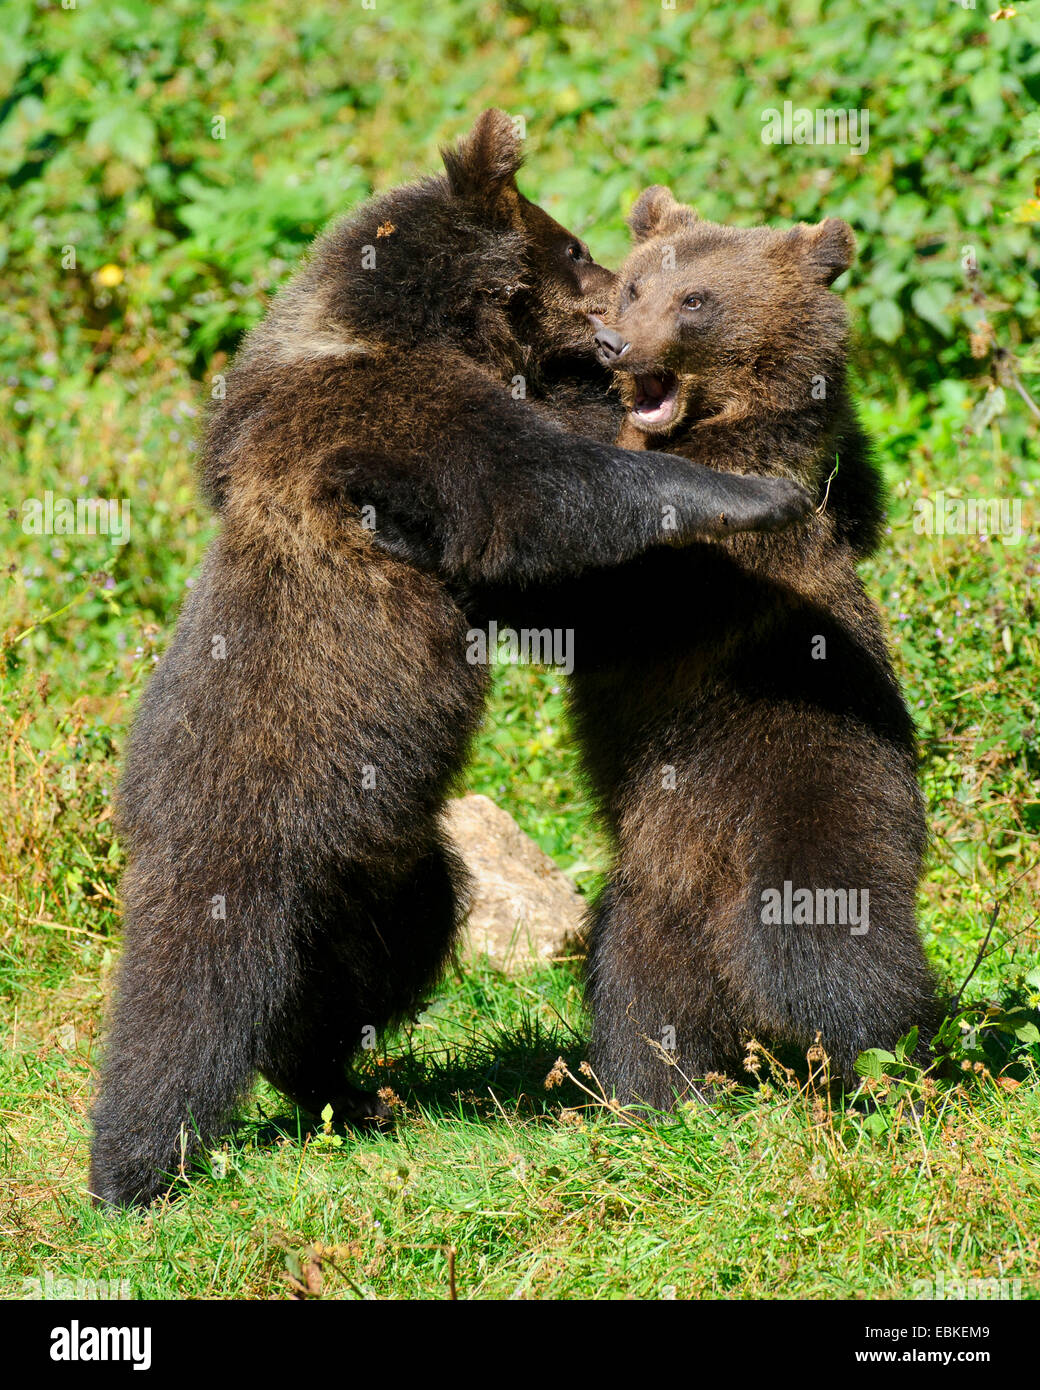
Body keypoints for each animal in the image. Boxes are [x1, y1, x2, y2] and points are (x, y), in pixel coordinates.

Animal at [90, 124, 812, 1206]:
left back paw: (336, 1085)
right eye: (576, 250)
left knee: (376, 964)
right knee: (189, 999)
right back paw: (136, 1164)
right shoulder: (392, 420)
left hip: (392, 863)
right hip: (248, 831)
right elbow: (534, 490)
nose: (614, 324)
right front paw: (753, 492)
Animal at [564, 187, 938, 1107]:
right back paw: (655, 1090)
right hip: (650, 881)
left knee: (833, 954)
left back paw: (888, 1066)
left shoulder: (722, 551)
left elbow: (612, 603)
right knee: (638, 988)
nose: (615, 344)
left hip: (806, 799)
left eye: (697, 301)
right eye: (635, 285)